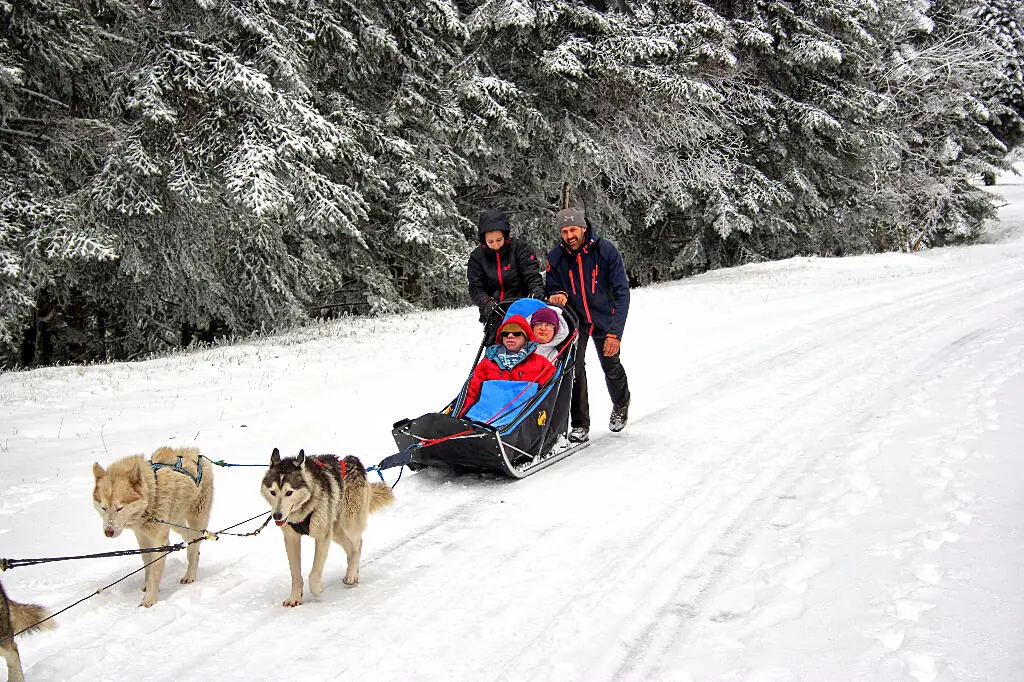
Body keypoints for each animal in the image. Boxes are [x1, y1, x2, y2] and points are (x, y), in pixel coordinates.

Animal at [92, 446, 214, 606]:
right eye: (103, 507)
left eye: (120, 508)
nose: (108, 532)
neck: (153, 494)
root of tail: (192, 452)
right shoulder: (142, 536)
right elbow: (147, 563)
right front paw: (146, 585)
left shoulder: (159, 541)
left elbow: (154, 574)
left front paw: (148, 601)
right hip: (175, 522)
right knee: (189, 538)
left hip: (196, 519)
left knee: (195, 545)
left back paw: (190, 574)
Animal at [262, 448, 393, 602]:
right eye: (273, 492)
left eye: (289, 492)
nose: (276, 516)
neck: (303, 510)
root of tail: (352, 460)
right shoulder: (291, 538)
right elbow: (295, 574)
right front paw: (294, 598)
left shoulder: (322, 536)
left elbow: (314, 573)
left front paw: (317, 589)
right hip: (335, 531)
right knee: (350, 548)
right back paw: (353, 572)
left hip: (347, 524)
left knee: (357, 544)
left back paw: (351, 574)